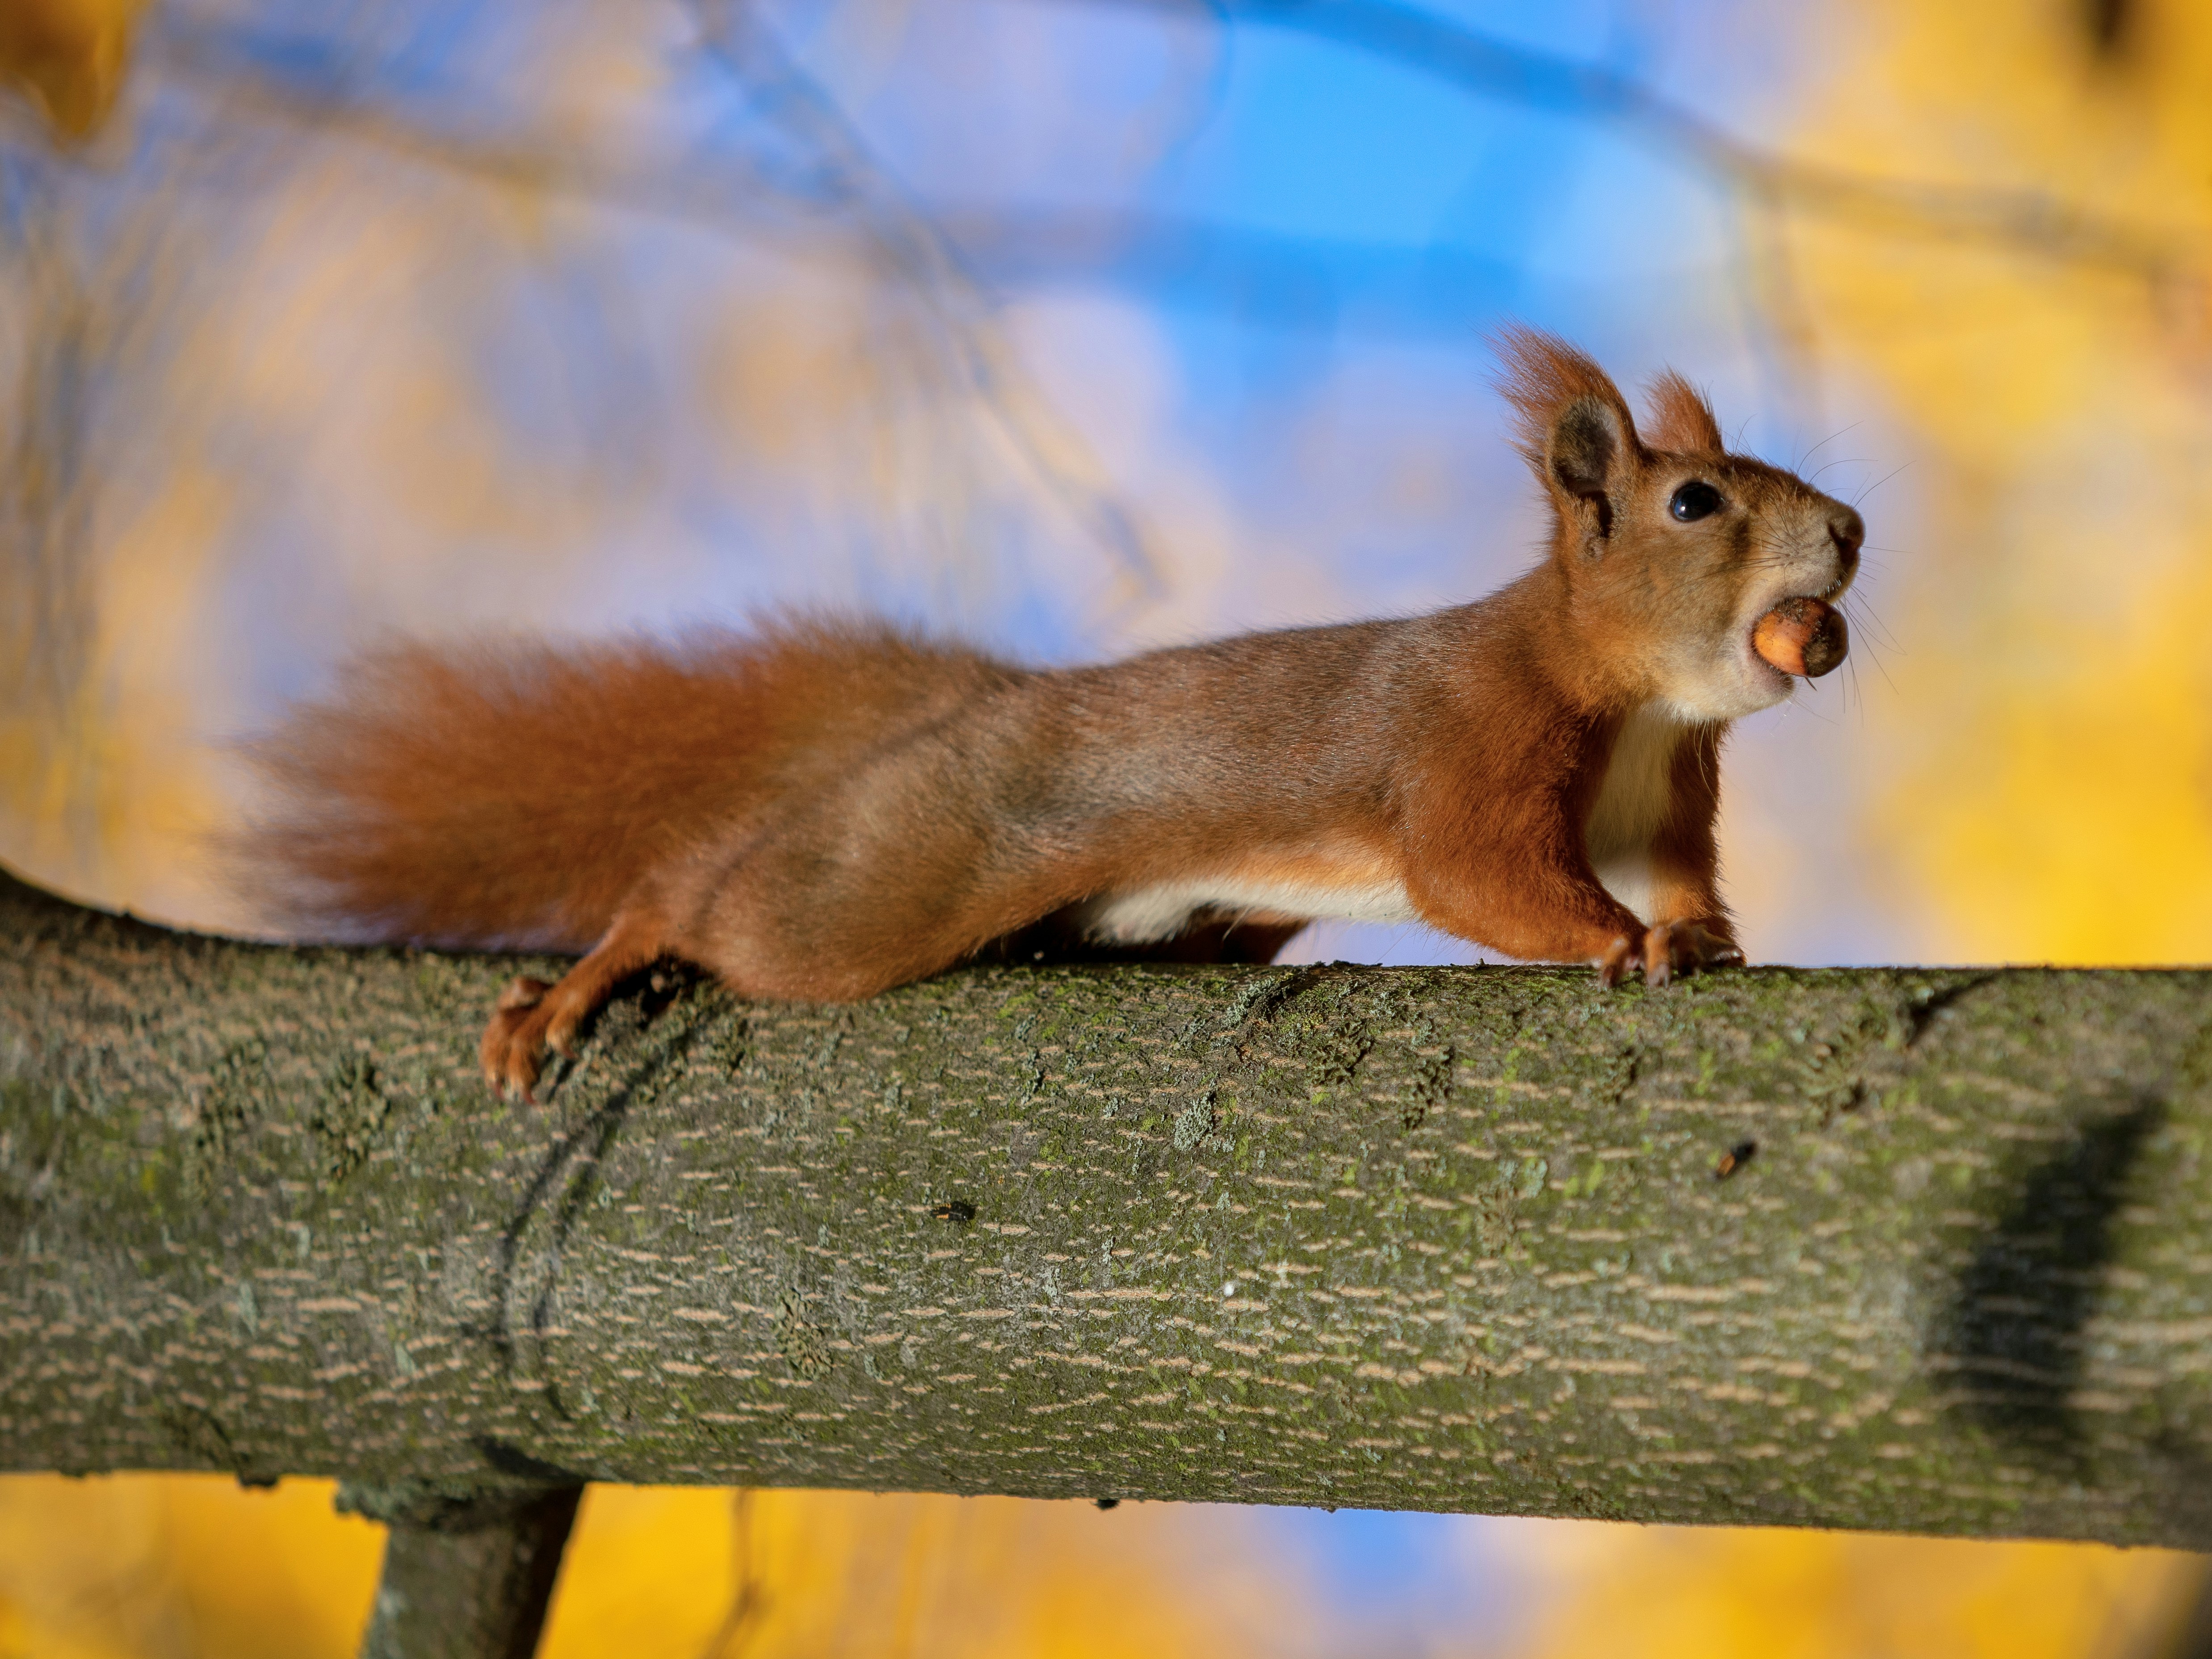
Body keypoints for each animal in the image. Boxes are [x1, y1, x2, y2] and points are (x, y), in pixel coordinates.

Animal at [238, 329, 1863, 1099]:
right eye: (1694, 502)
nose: (1848, 533)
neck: (1640, 700)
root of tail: (969, 716)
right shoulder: (1470, 738)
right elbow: (1479, 875)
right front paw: (1617, 942)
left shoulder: (1665, 790)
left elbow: (1679, 872)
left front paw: (1697, 934)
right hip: (873, 889)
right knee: (701, 900)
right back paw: (576, 987)